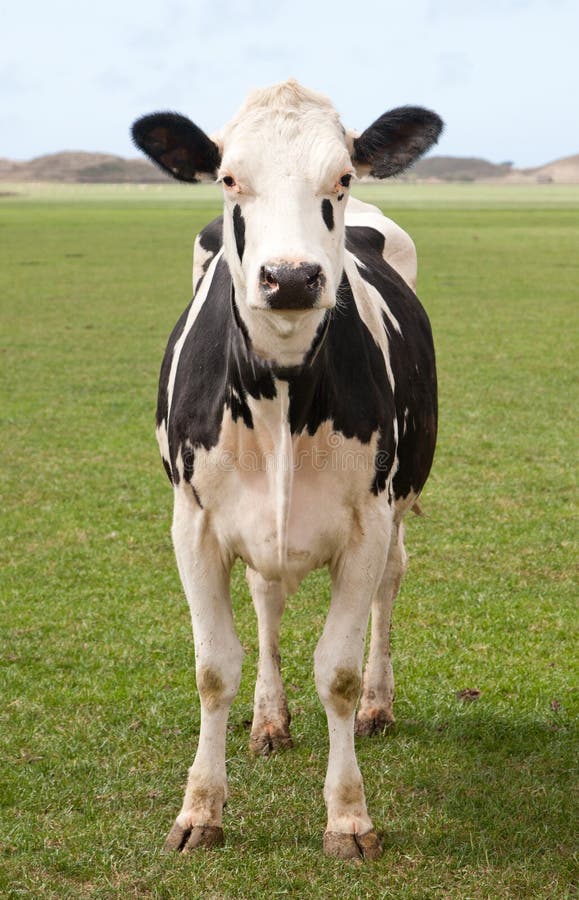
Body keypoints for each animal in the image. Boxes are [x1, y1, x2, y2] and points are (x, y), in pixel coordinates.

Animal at [132, 79, 442, 860]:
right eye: (228, 178)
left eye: (343, 176)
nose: (294, 276)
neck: (279, 389)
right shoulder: (193, 524)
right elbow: (214, 668)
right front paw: (200, 810)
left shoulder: (366, 523)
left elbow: (338, 671)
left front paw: (349, 817)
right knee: (266, 598)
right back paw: (269, 719)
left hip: (396, 509)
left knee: (390, 586)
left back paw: (379, 705)